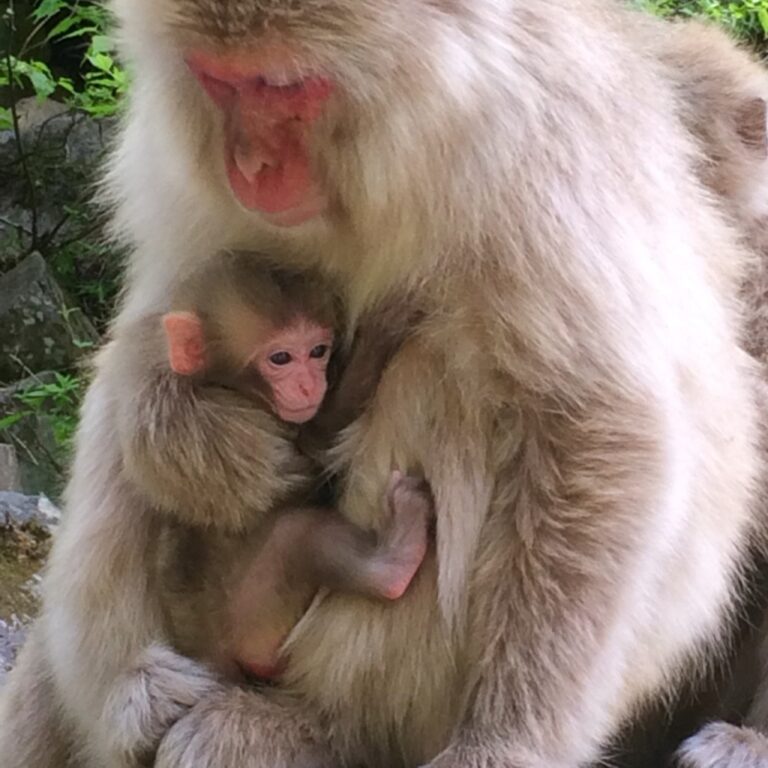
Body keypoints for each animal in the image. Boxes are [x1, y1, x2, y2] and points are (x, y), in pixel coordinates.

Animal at [0, 3, 765, 768]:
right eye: (219, 81)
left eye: (284, 86)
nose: (250, 166)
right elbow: (158, 328)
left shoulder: (539, 163)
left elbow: (601, 424)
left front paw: (503, 741)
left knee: (442, 377)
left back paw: (319, 719)